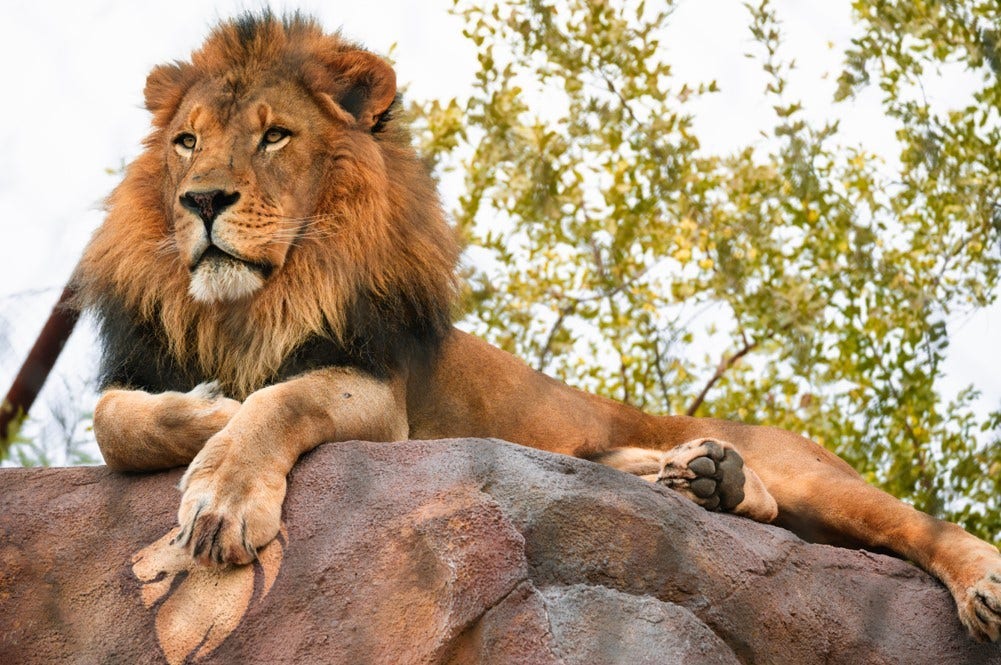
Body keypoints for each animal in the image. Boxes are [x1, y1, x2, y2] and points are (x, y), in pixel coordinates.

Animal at [73, 13, 1001, 642]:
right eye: (186, 142)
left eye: (274, 135)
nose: (201, 201)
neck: (254, 303)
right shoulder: (142, 367)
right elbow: (113, 418)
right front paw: (205, 409)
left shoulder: (378, 393)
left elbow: (279, 402)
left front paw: (221, 493)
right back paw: (702, 479)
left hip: (820, 475)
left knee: (919, 526)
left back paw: (974, 581)